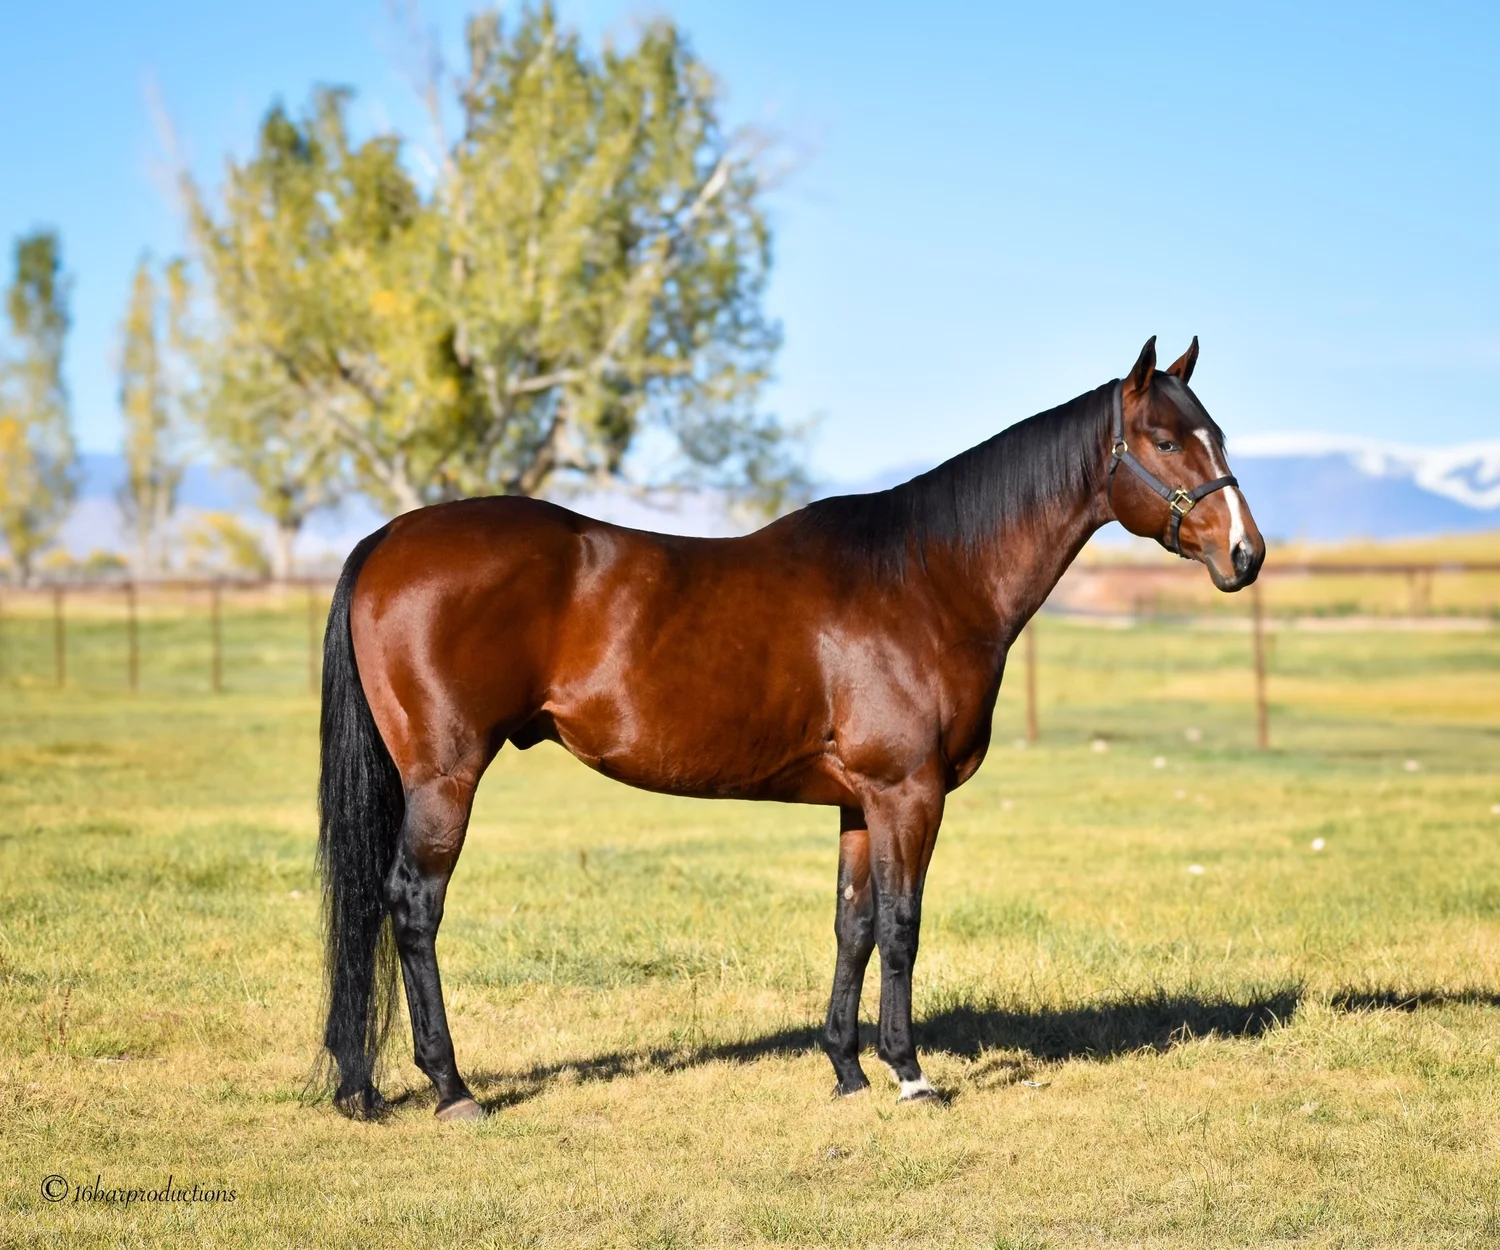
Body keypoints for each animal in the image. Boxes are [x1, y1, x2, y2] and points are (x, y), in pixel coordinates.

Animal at [316, 336, 1265, 1121]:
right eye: (1168, 441)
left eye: (1217, 433)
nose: (1246, 554)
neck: (929, 577)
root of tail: (389, 538)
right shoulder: (909, 793)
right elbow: (902, 925)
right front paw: (909, 1073)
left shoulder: (859, 803)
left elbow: (853, 926)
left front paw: (846, 1069)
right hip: (445, 777)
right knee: (413, 908)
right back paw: (452, 1088)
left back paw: (363, 1086)